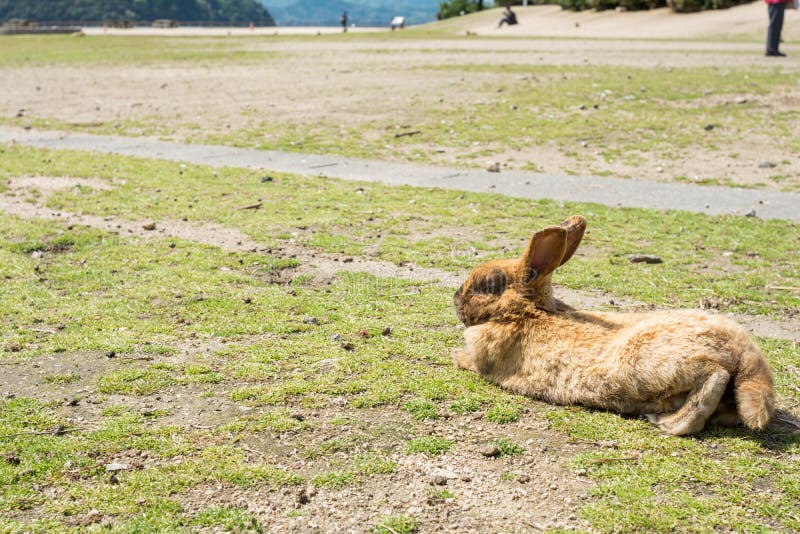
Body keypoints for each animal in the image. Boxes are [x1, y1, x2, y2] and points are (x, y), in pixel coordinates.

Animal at [452, 215, 775, 436]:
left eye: (487, 284)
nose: (456, 299)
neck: (527, 311)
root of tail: (744, 354)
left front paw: (457, 357)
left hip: (657, 364)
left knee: (713, 377)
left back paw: (666, 423)